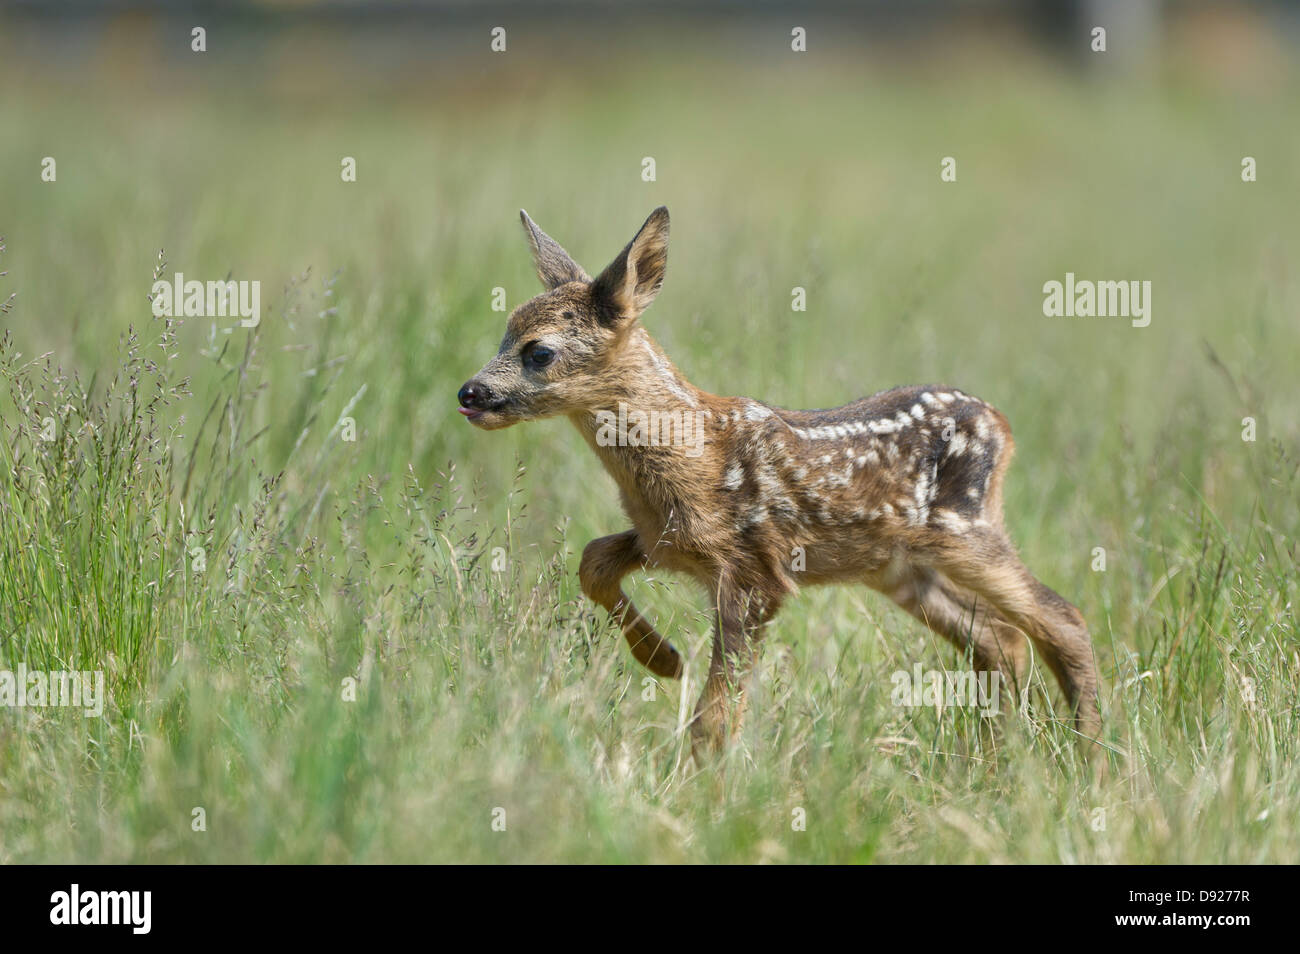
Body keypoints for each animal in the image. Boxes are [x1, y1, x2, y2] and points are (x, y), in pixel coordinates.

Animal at [458, 207, 1102, 762]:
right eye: (502, 334)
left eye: (538, 351)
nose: (470, 392)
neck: (694, 449)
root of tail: (1002, 424)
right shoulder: (667, 540)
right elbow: (592, 560)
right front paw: (663, 660)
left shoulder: (756, 575)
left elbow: (715, 722)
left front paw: (702, 794)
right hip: (900, 568)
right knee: (1001, 639)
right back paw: (1000, 762)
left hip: (964, 530)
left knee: (1062, 619)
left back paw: (1093, 764)